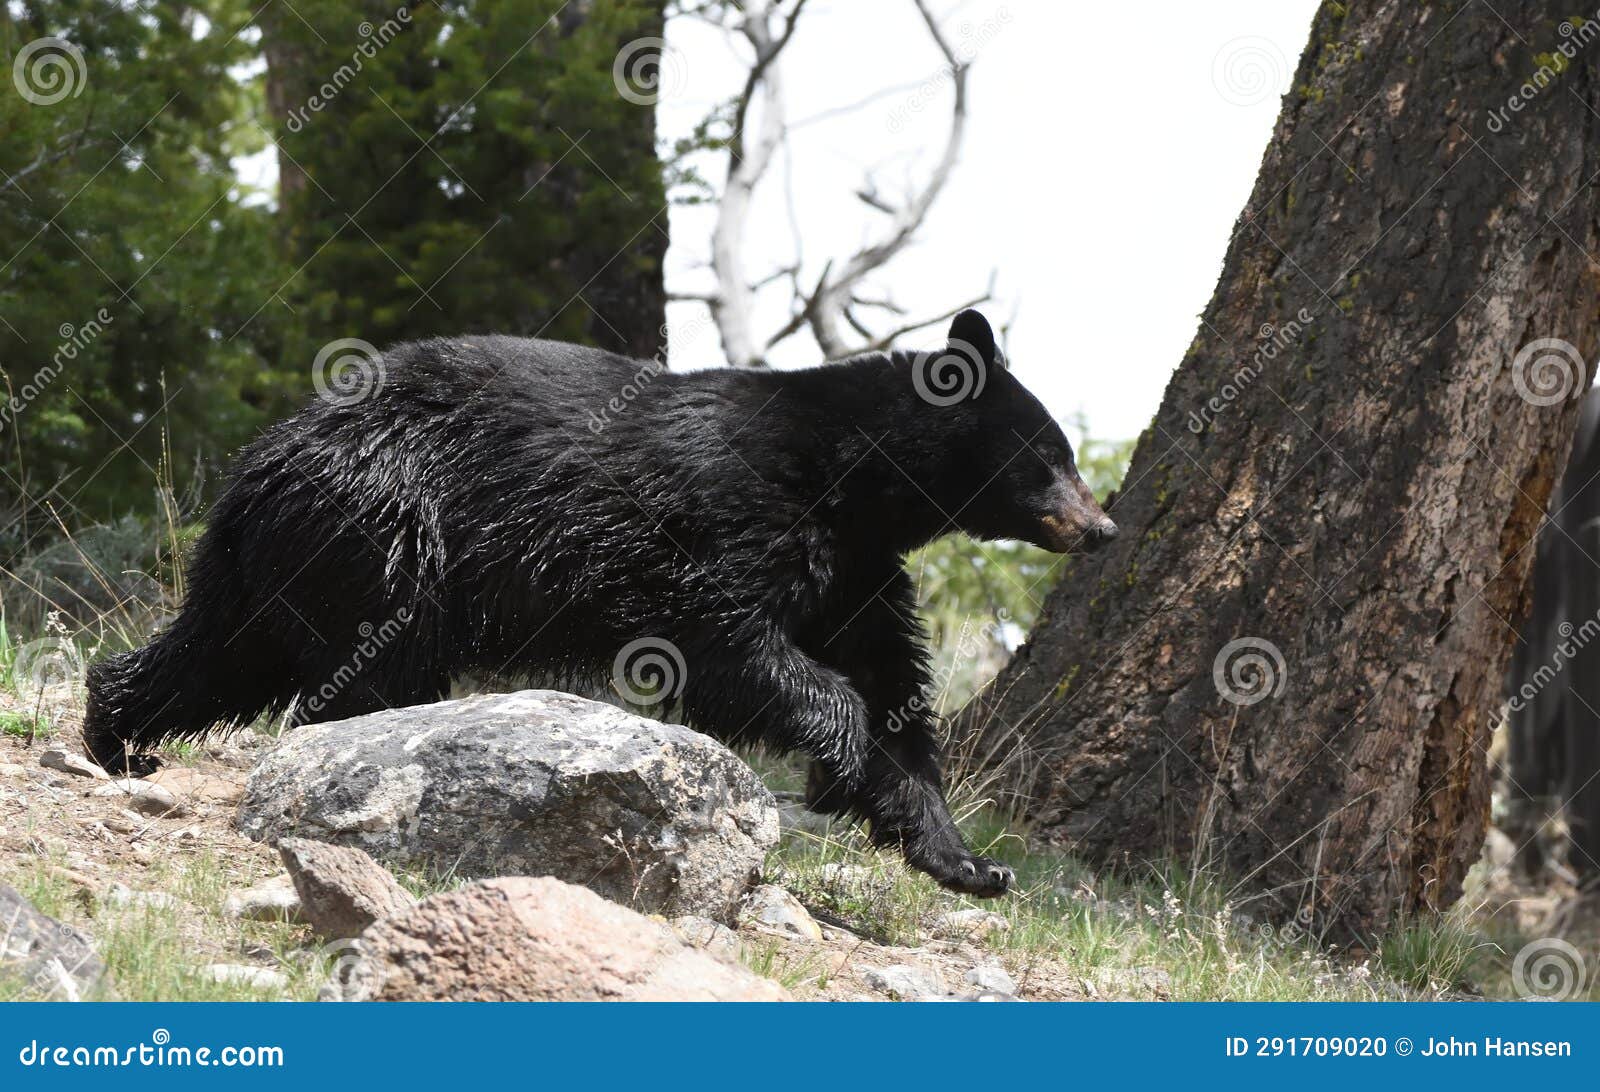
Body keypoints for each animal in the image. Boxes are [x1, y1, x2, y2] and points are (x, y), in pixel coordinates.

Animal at [83, 309, 1116, 896]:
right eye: (1049, 456)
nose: (1103, 528)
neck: (848, 482)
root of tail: (256, 465)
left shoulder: (860, 575)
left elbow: (898, 693)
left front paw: (967, 860)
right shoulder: (722, 521)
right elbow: (736, 648)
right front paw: (837, 761)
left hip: (281, 561)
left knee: (215, 654)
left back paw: (116, 735)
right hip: (383, 528)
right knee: (362, 669)